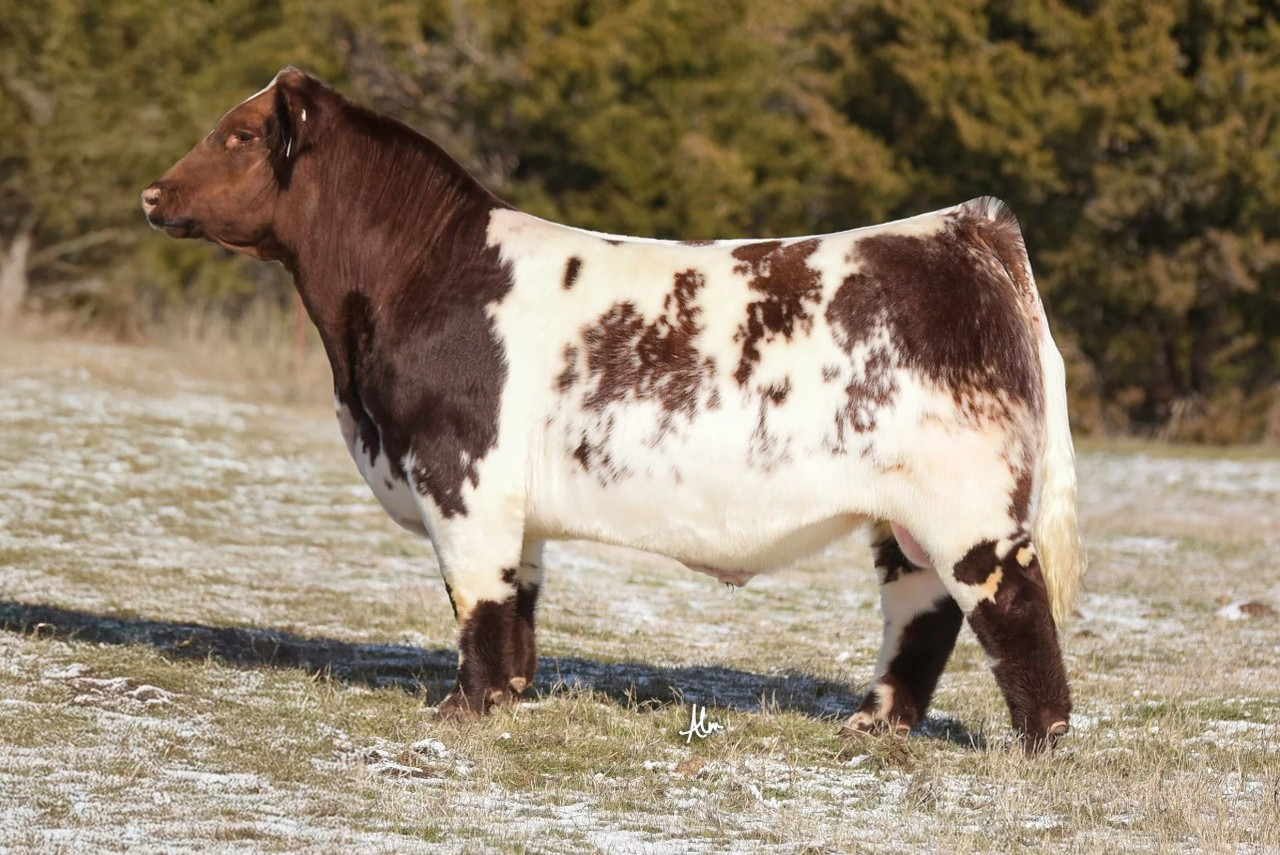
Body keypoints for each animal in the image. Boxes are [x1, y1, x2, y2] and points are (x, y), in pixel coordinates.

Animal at [142, 67, 1085, 751]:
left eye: (239, 134)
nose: (152, 194)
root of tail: (965, 225)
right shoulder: (512, 503)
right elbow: (515, 598)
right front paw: (510, 695)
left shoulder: (459, 471)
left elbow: (474, 595)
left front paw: (463, 708)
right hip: (905, 514)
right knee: (922, 613)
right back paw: (873, 722)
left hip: (968, 504)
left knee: (1013, 608)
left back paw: (1037, 742)